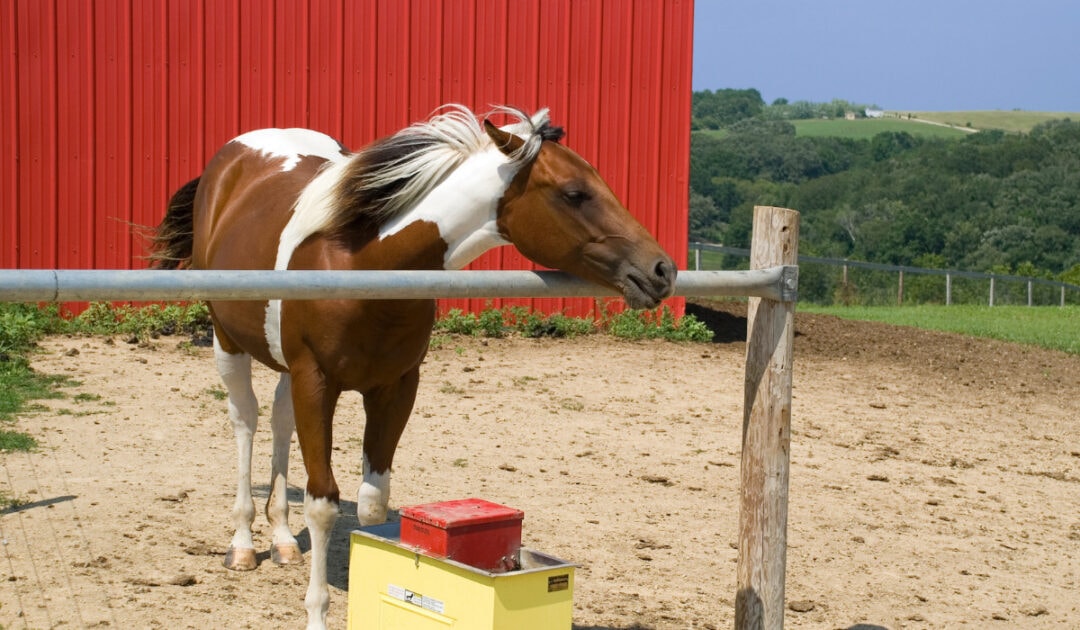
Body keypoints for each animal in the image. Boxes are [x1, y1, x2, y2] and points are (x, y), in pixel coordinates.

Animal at [150, 105, 676, 629]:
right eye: (574, 193)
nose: (662, 271)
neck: (363, 263)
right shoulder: (316, 381)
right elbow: (322, 504)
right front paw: (317, 613)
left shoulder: (395, 387)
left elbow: (371, 505)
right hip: (228, 342)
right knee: (246, 421)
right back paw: (242, 544)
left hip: (281, 361)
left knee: (280, 422)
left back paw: (280, 540)